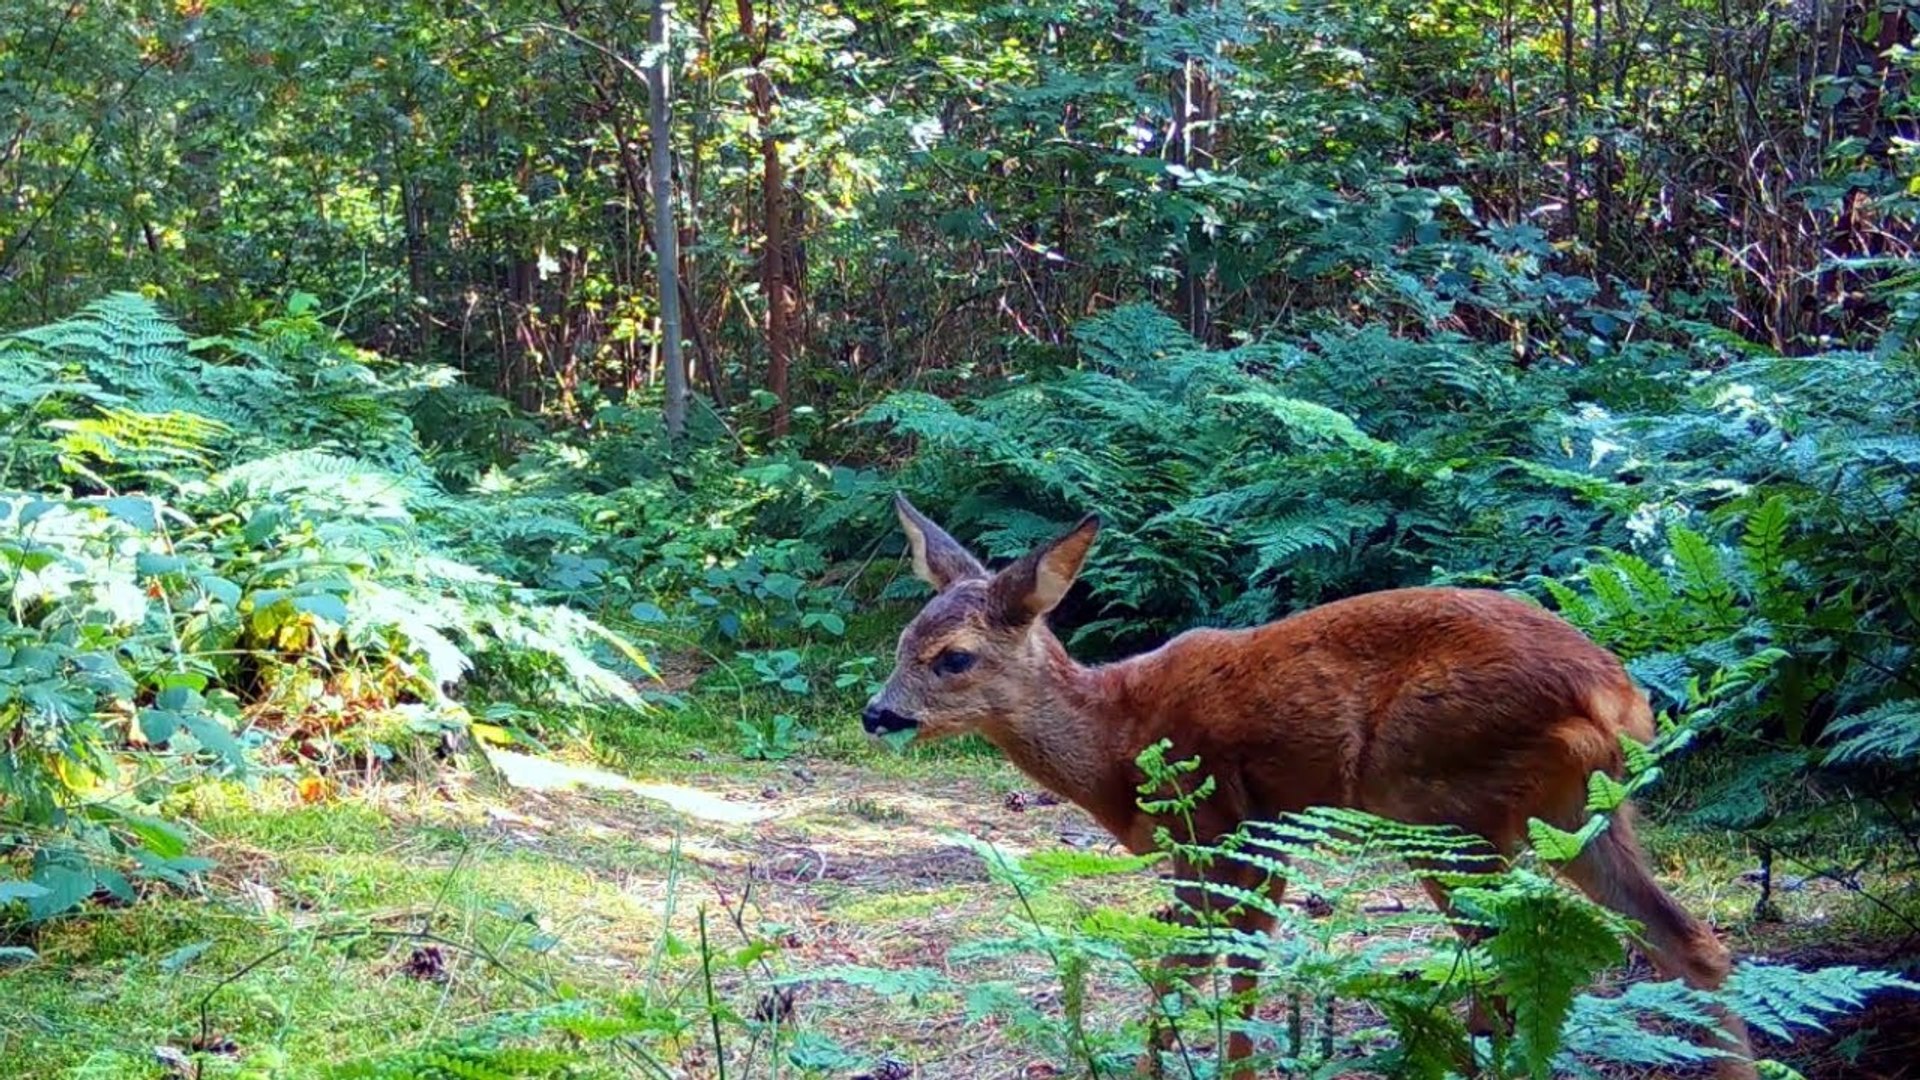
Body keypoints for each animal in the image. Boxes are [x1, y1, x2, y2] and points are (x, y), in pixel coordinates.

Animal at [860, 495, 1758, 1080]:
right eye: (903, 642)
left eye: (954, 658)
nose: (877, 714)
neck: (1115, 737)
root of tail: (1619, 701)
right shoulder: (1261, 842)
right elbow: (1230, 967)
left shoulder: (1221, 825)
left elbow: (1193, 970)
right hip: (1578, 813)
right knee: (1688, 941)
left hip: (1442, 798)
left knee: (1505, 968)